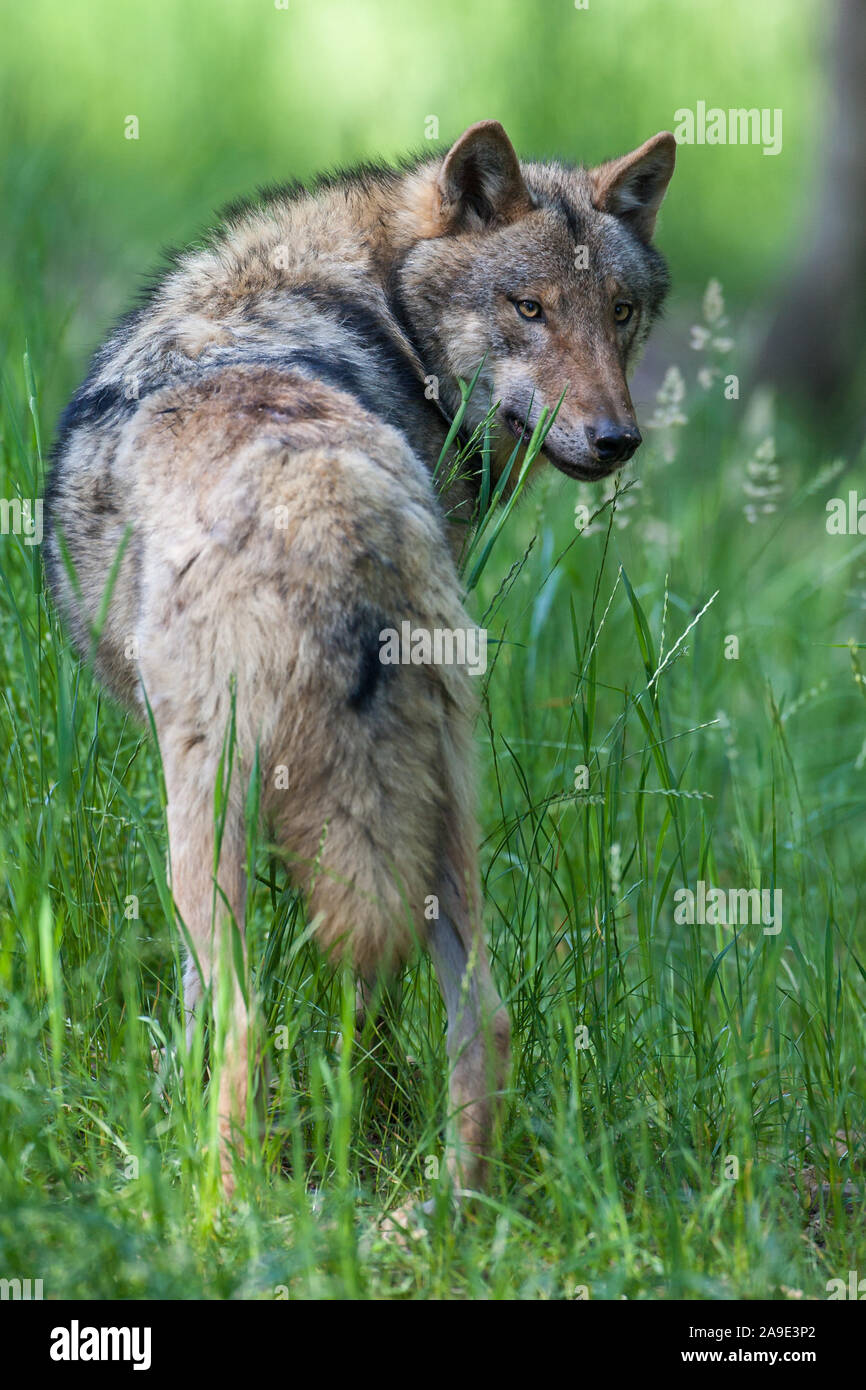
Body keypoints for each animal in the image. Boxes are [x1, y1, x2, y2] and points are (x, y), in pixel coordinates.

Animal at [44, 120, 675, 1203]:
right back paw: (445, 1213)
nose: (616, 440)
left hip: (205, 817)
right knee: (481, 1018)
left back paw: (221, 1211)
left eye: (620, 312)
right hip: (444, 808)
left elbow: (190, 1000)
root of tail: (336, 502)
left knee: (243, 1018)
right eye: (530, 308)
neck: (369, 302)